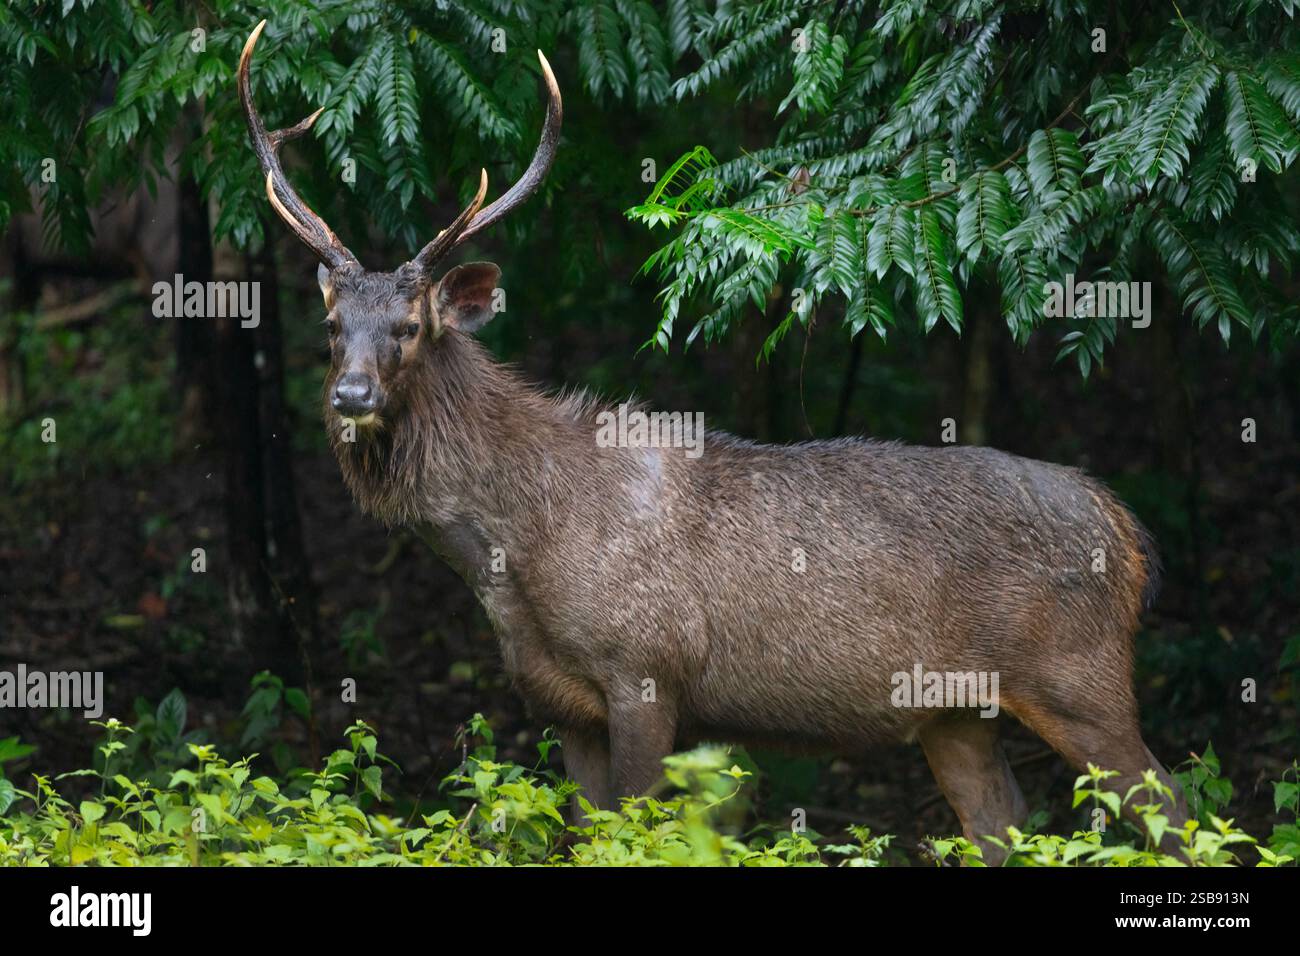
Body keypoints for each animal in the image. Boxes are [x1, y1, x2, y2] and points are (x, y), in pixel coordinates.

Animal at [238, 21, 1186, 862]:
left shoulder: (646, 671)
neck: (512, 551)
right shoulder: (563, 706)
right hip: (958, 716)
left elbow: (633, 833)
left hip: (1080, 675)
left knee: (1175, 807)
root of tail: (1129, 531)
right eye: (332, 326)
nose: (351, 395)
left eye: (409, 326)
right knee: (1005, 826)